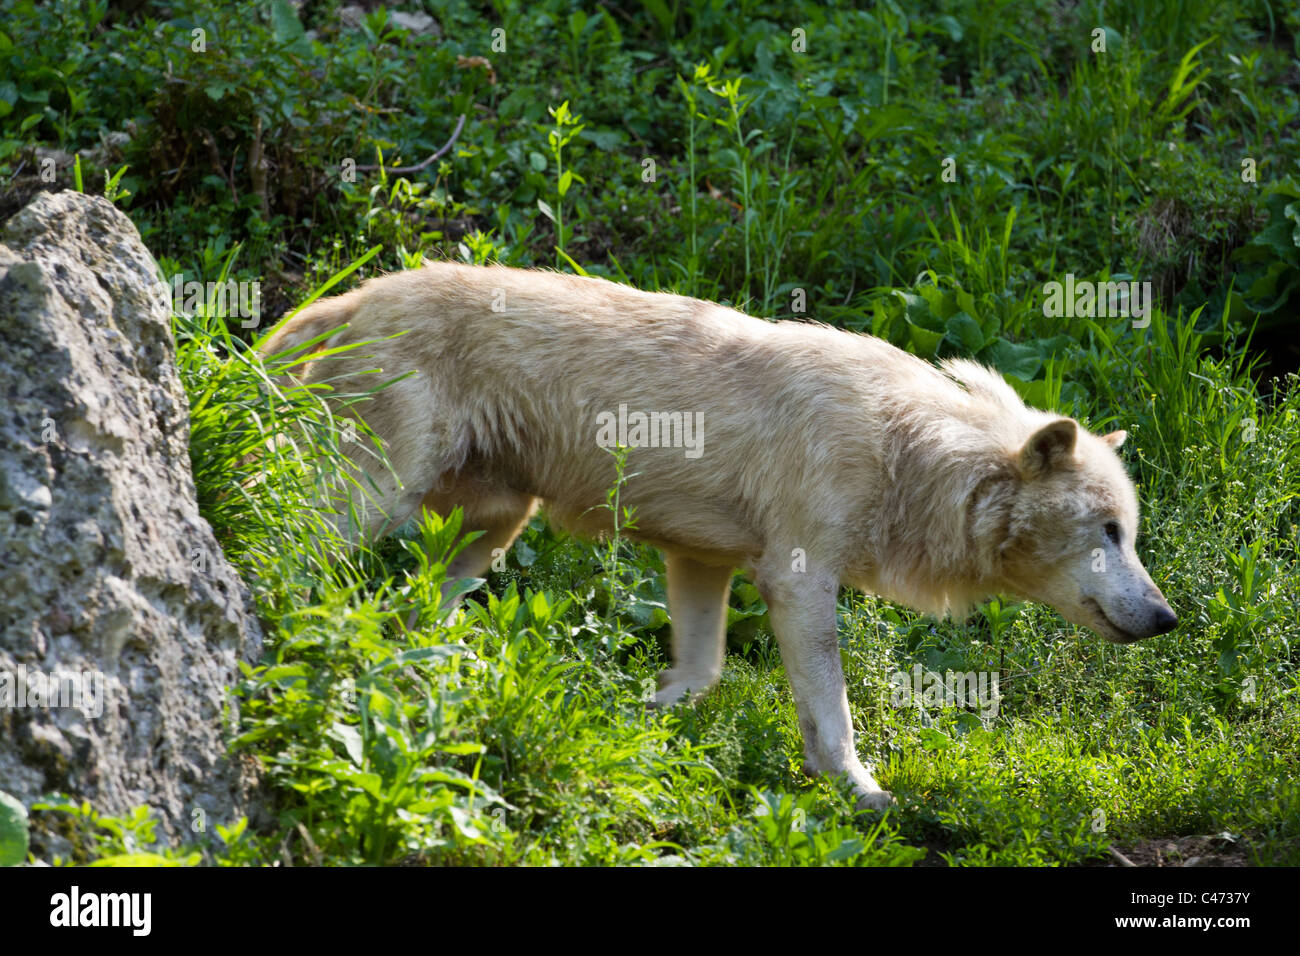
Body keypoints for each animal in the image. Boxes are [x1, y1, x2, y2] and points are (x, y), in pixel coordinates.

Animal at [257, 262, 1177, 809]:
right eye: (1107, 531)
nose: (1168, 618)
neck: (908, 451)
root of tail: (326, 306)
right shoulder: (797, 580)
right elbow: (832, 713)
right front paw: (861, 793)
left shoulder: (700, 561)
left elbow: (700, 674)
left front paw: (636, 717)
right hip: (376, 500)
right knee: (293, 552)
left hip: (491, 527)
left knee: (417, 613)